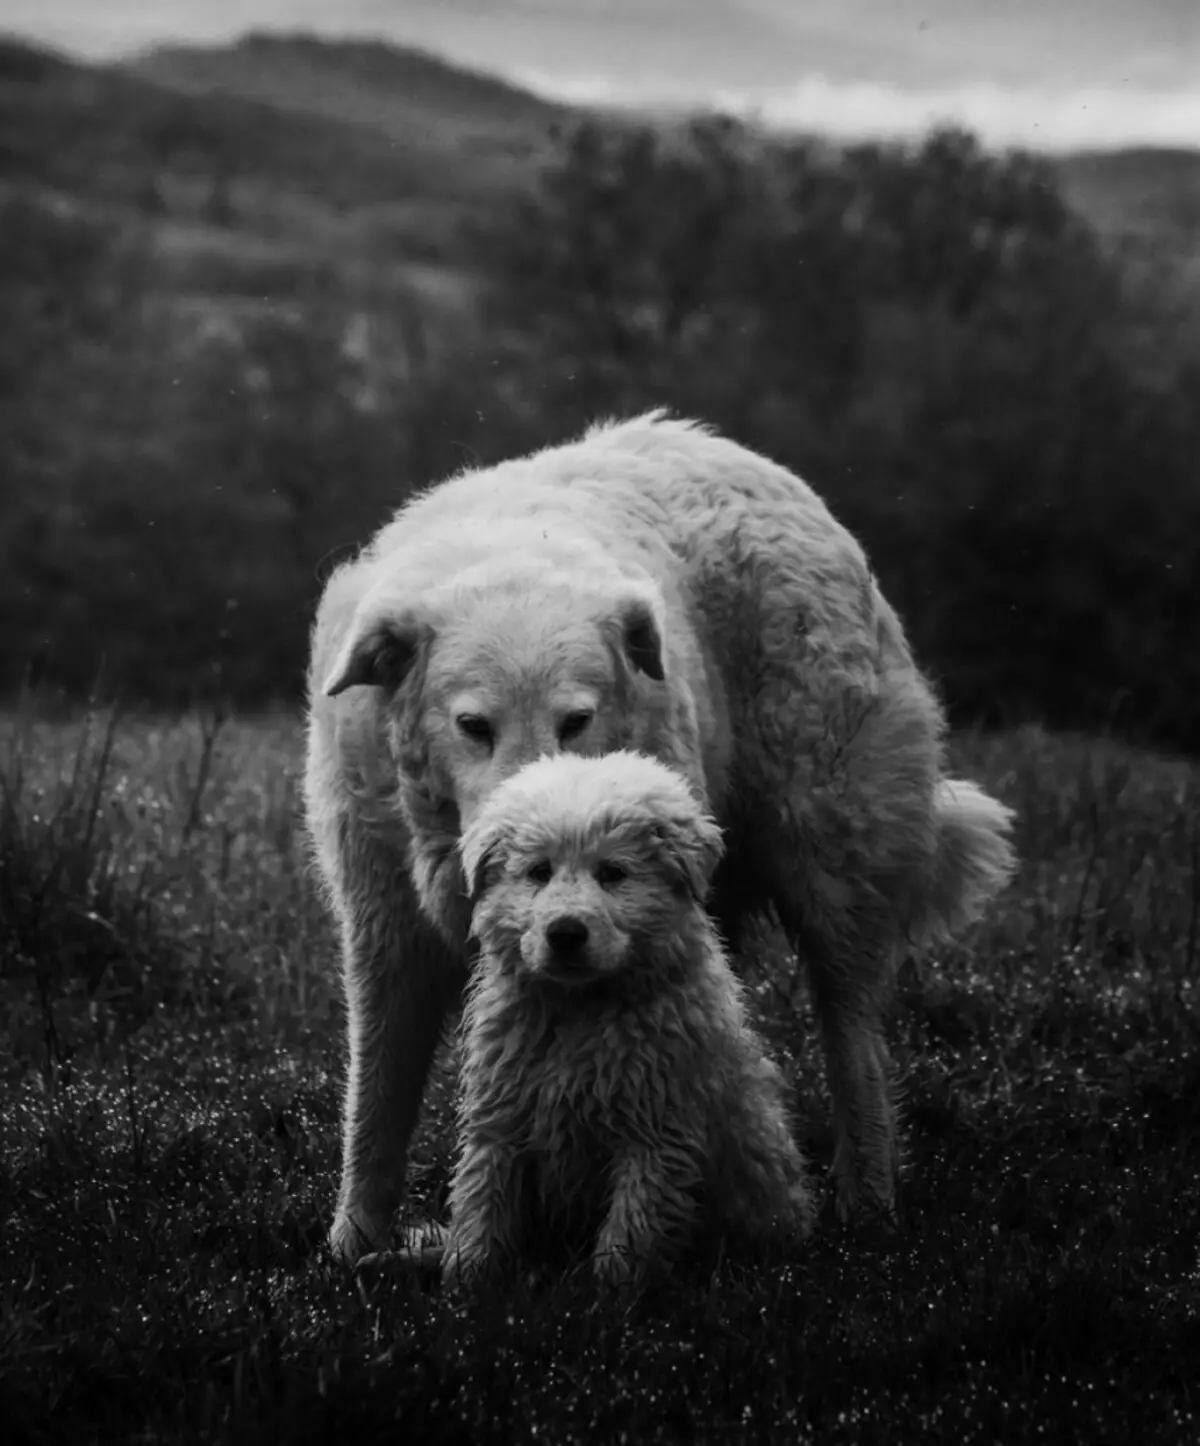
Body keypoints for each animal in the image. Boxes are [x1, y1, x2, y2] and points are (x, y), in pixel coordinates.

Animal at [305, 410, 1017, 1266]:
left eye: (576, 720)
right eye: (473, 726)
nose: (539, 817)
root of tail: (739, 455)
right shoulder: (384, 928)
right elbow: (377, 1100)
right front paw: (356, 1245)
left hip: (832, 854)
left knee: (855, 1037)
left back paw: (867, 1204)